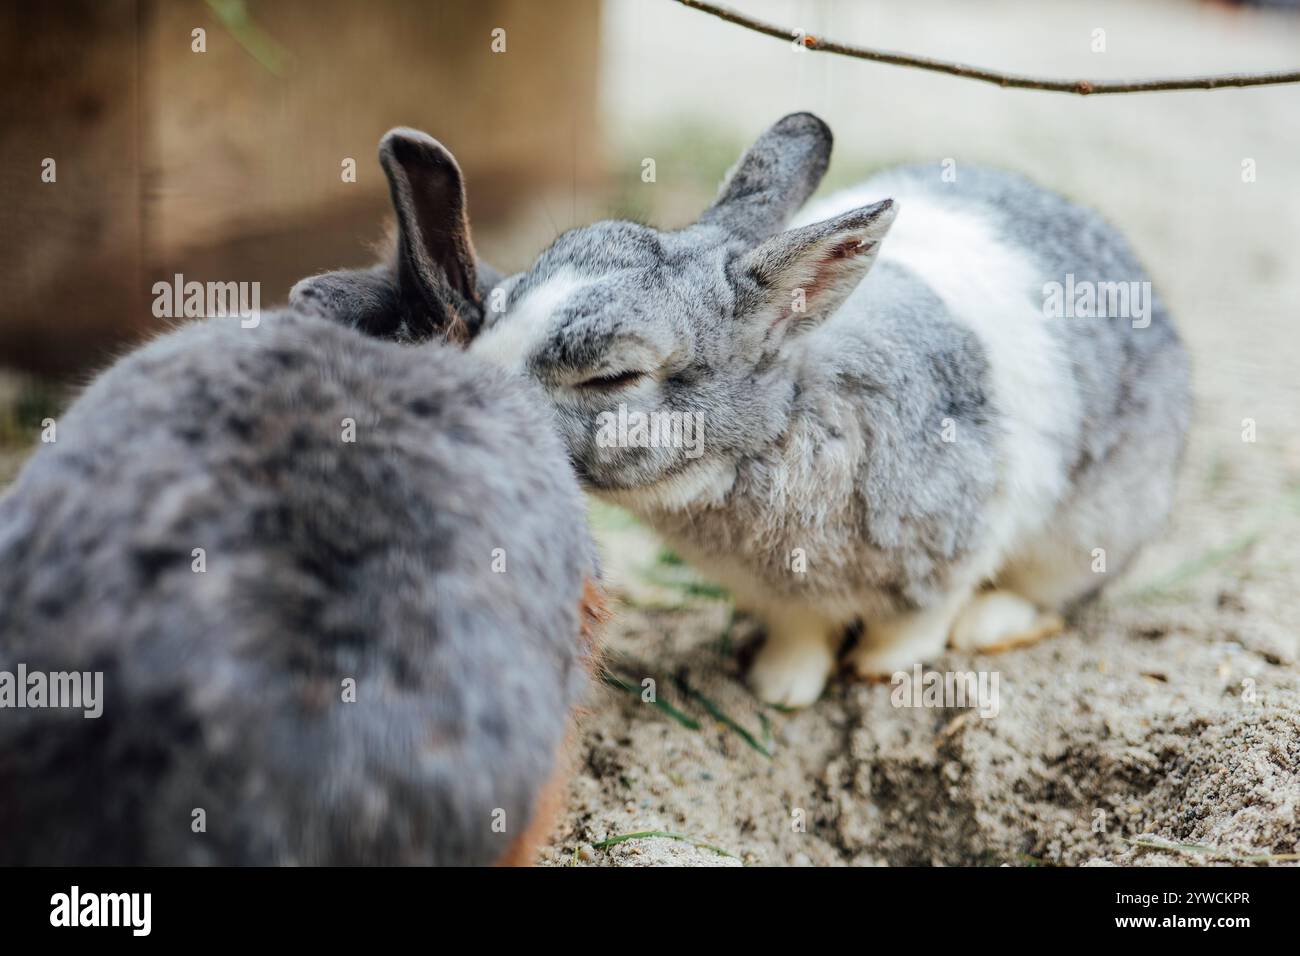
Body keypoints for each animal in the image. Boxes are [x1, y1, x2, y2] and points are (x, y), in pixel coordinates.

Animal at [469, 111, 1191, 708]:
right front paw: (781, 688)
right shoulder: (779, 594)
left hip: (1086, 535)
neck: (786, 420)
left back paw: (991, 624)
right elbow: (801, 632)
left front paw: (876, 669)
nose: (480, 383)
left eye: (613, 375)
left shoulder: (960, 542)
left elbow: (919, 622)